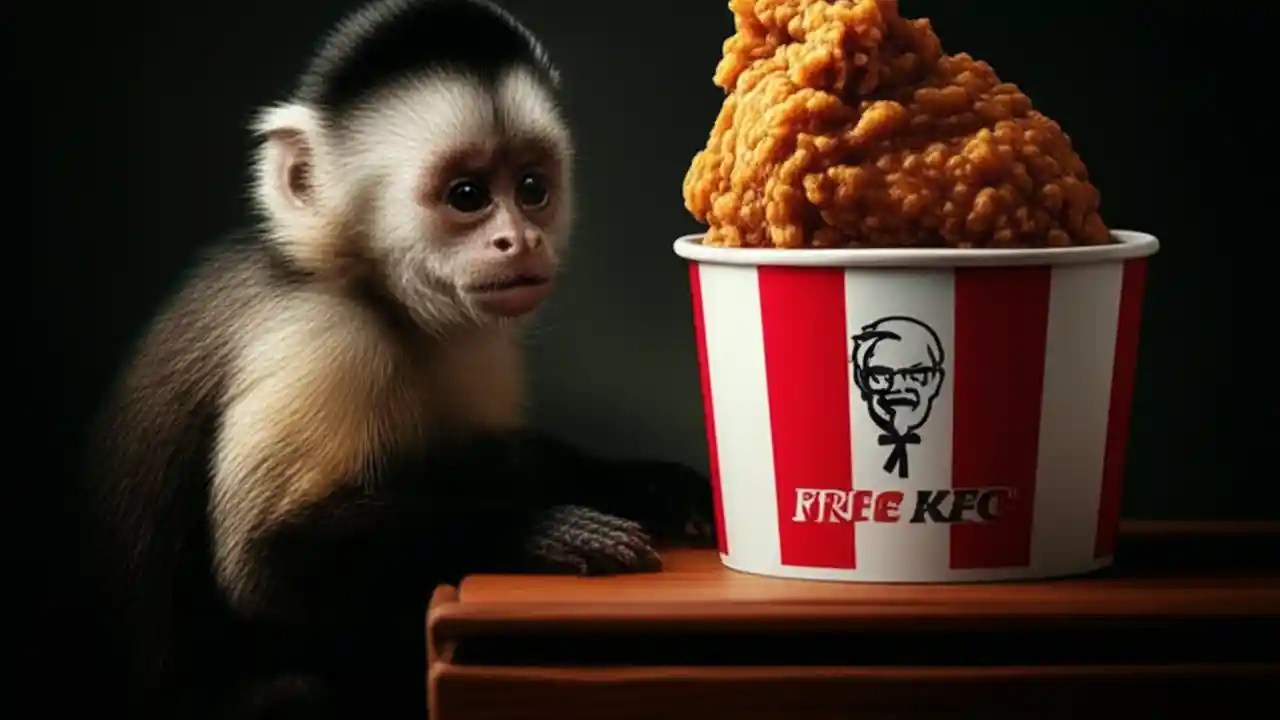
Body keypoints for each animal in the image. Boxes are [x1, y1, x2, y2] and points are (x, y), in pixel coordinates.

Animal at [75, 1, 715, 718]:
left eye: (531, 188)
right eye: (467, 195)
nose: (519, 240)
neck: (378, 294)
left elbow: (499, 450)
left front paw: (638, 482)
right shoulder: (319, 341)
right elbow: (266, 563)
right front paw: (537, 529)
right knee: (298, 690)